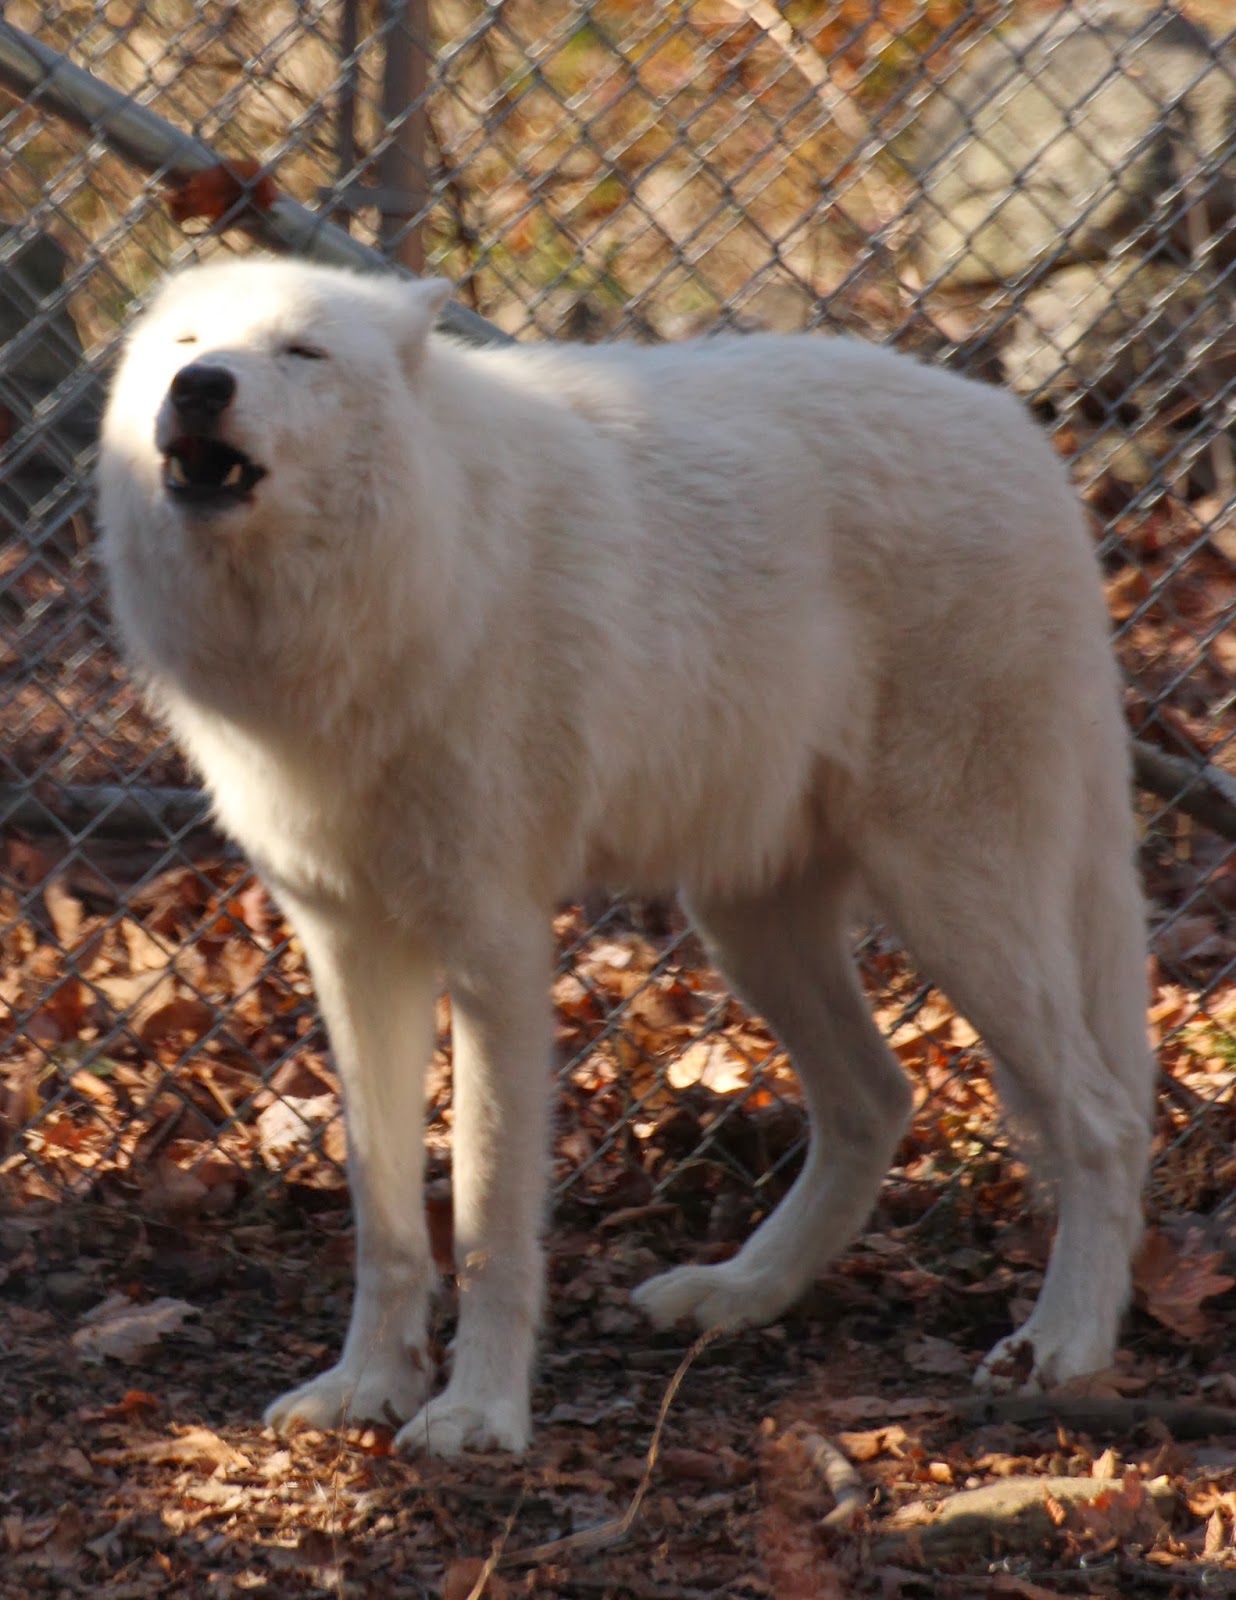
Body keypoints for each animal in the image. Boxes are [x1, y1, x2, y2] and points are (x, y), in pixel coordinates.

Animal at [98, 255, 1154, 1457]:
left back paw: (1065, 1346)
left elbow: (488, 1216)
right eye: (187, 342)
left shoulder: (497, 942)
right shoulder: (350, 944)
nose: (199, 387)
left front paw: (476, 1415)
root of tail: (1023, 435)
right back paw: (739, 1293)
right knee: (877, 1101)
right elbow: (386, 1220)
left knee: (1103, 1120)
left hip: (952, 900)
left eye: (300, 353)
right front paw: (365, 1388)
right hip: (749, 920)